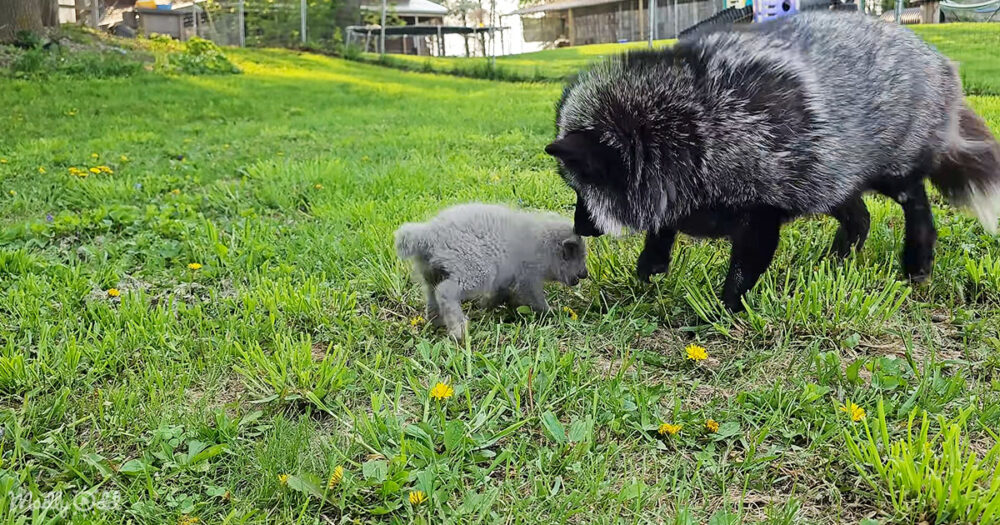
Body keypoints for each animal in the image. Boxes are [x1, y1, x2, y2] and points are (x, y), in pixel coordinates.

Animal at [395, 203, 589, 341]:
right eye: (579, 257)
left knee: (432, 292)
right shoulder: (527, 276)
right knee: (445, 291)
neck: (544, 244)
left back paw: (436, 321)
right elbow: (535, 298)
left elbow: (500, 293)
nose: (585, 274)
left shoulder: (506, 276)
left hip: (432, 273)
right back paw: (459, 330)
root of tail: (428, 234)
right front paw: (553, 313)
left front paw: (487, 305)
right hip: (478, 272)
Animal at [545, 12, 1000, 312]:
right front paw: (651, 265)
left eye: (579, 188)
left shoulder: (762, 213)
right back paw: (833, 264)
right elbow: (663, 228)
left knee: (917, 205)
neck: (699, 122)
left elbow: (740, 275)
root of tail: (940, 60)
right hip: (831, 183)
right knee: (861, 218)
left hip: (887, 177)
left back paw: (917, 263)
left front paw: (724, 314)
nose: (578, 227)